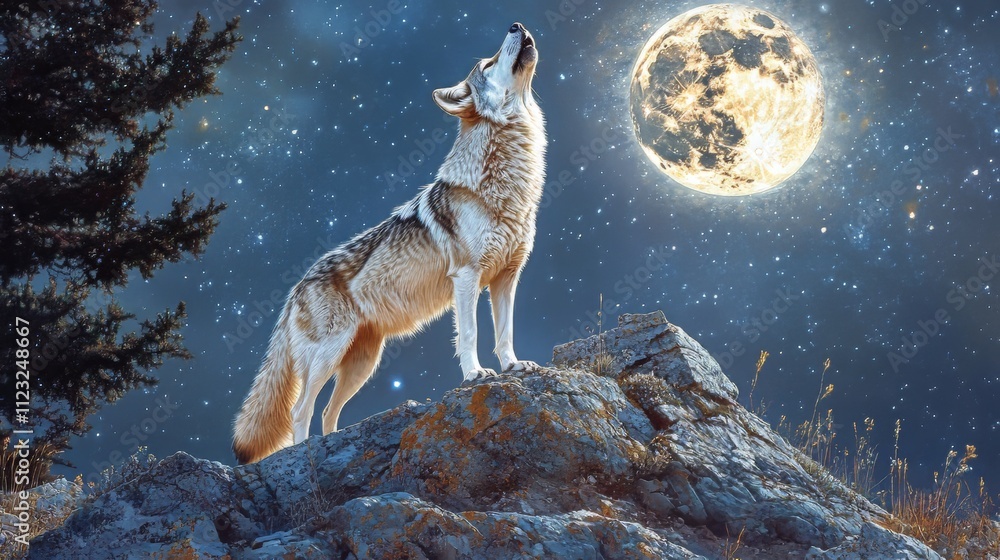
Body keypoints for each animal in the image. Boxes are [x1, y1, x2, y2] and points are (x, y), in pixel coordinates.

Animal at [232, 23, 546, 464]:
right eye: (488, 63)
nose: (516, 25)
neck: (507, 184)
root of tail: (296, 286)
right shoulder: (467, 278)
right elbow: (470, 335)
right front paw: (474, 374)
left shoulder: (506, 278)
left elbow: (506, 334)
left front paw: (513, 366)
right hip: (330, 355)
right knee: (300, 410)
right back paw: (304, 454)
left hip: (362, 363)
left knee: (328, 411)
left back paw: (332, 444)